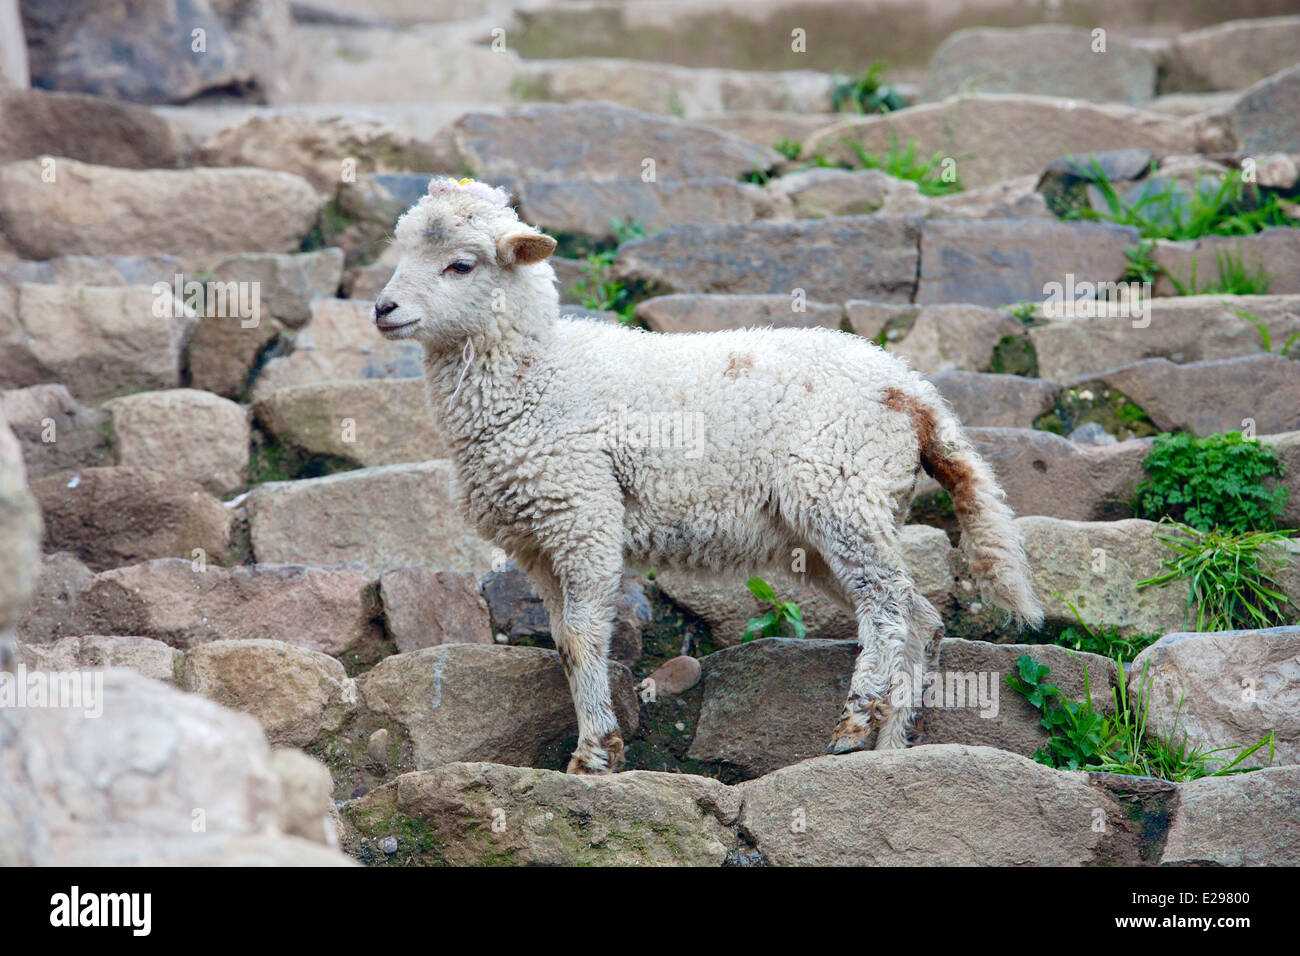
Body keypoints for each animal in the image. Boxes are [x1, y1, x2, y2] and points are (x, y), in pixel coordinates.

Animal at [375, 176, 1044, 774]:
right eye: (401, 249)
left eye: (461, 265)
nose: (382, 309)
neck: (536, 371)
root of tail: (915, 392)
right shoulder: (535, 540)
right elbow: (564, 641)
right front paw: (599, 741)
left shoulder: (583, 514)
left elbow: (587, 634)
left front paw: (595, 753)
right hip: (828, 529)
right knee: (918, 614)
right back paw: (890, 744)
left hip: (842, 492)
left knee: (886, 606)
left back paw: (855, 722)